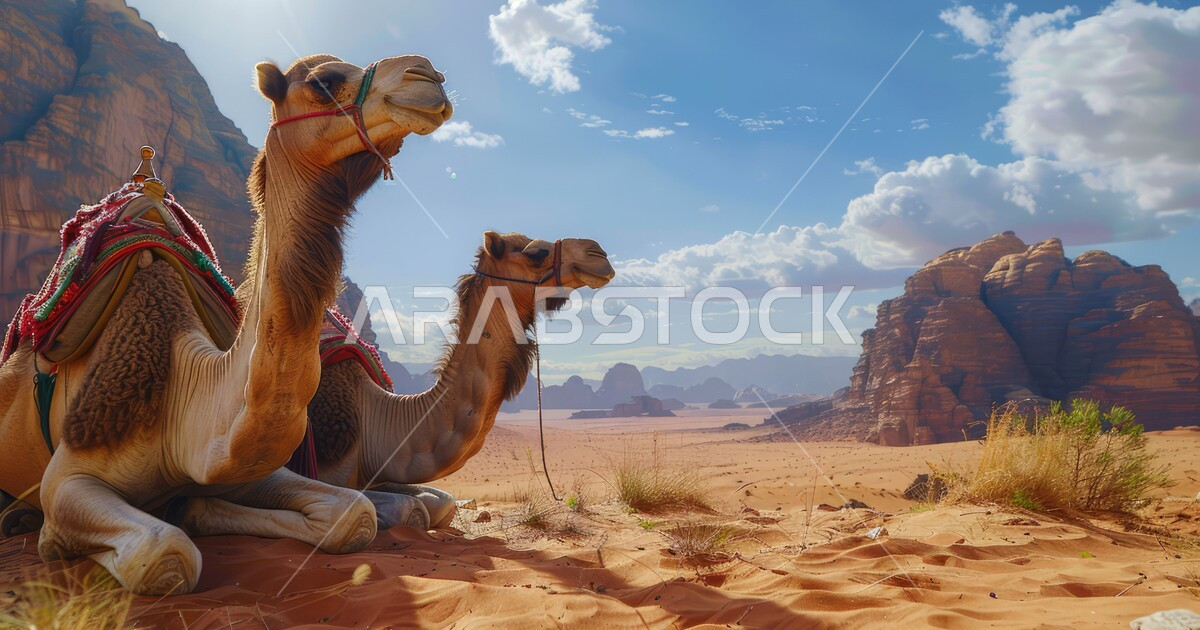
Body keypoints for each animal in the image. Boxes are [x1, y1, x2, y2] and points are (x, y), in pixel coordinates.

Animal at [0, 53, 452, 595]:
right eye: (324, 83)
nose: (427, 75)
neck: (184, 392)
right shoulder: (67, 477)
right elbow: (166, 554)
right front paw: (54, 541)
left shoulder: (245, 464)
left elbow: (352, 514)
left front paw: (194, 507)